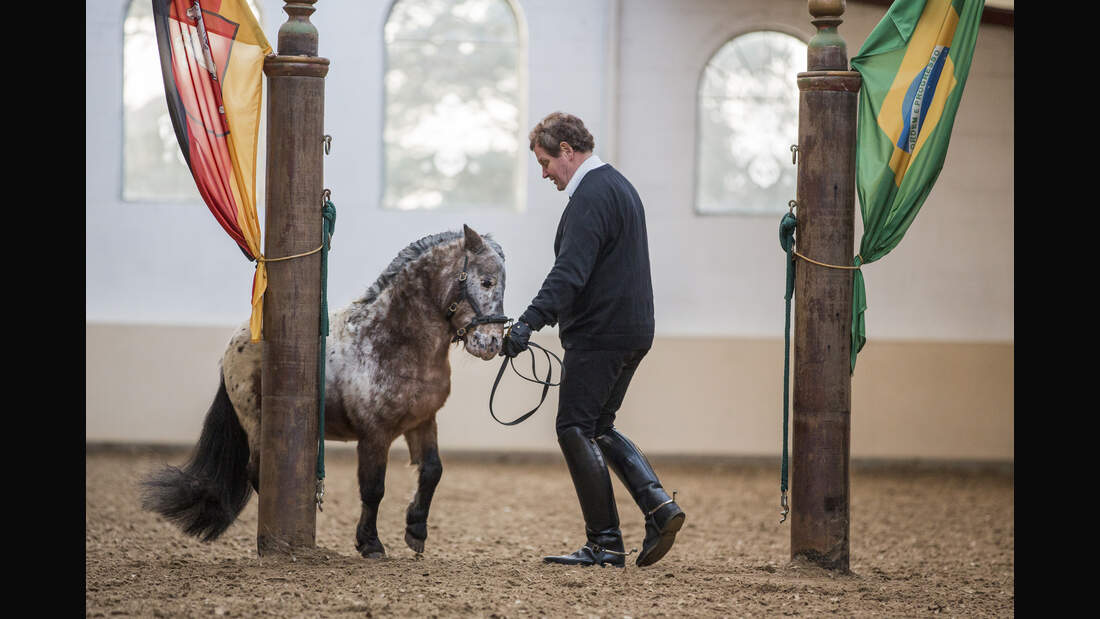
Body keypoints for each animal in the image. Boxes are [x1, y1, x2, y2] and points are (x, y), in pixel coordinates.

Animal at [141, 224, 508, 558]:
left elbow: (432, 471)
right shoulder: (374, 435)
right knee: (257, 471)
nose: (491, 343)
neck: (392, 340)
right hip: (255, 423)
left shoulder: (422, 421)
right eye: (486, 281)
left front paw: (415, 530)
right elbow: (373, 488)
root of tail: (235, 343)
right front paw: (370, 544)